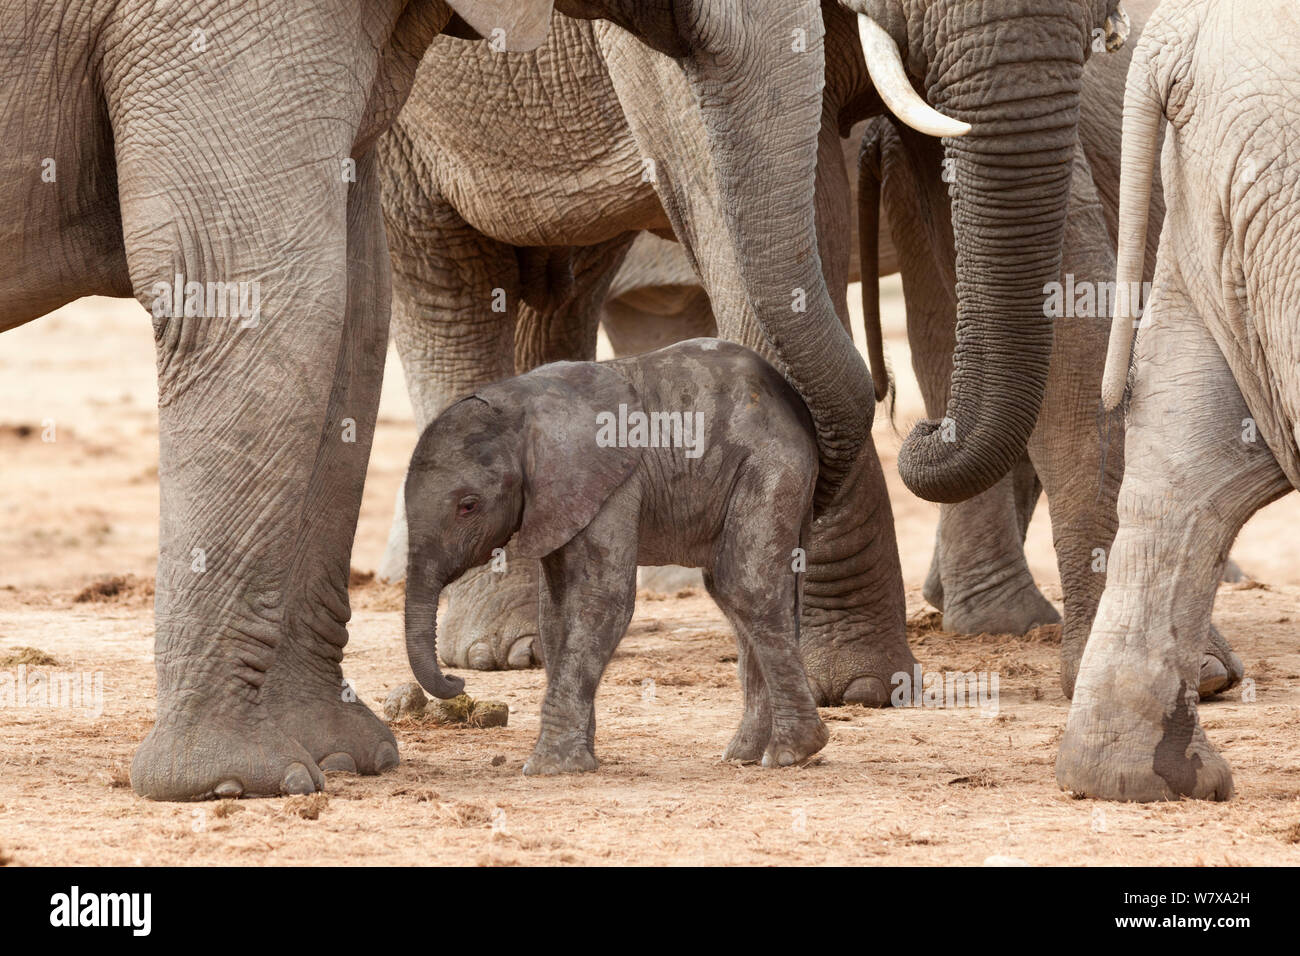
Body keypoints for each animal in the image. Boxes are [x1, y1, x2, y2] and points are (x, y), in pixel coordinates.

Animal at [377, 0, 1129, 708]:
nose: (921, 429)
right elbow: (782, 229)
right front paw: (855, 688)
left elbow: (1076, 277)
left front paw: (1116, 672)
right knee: (447, 282)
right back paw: (508, 648)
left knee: (561, 293)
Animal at [404, 339, 829, 773]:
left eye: (468, 506)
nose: (458, 681)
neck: (518, 405)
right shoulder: (558, 500)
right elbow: (556, 614)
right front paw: (581, 761)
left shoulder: (612, 482)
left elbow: (599, 601)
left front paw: (548, 768)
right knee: (737, 595)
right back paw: (746, 754)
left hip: (771, 466)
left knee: (745, 588)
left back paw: (788, 753)